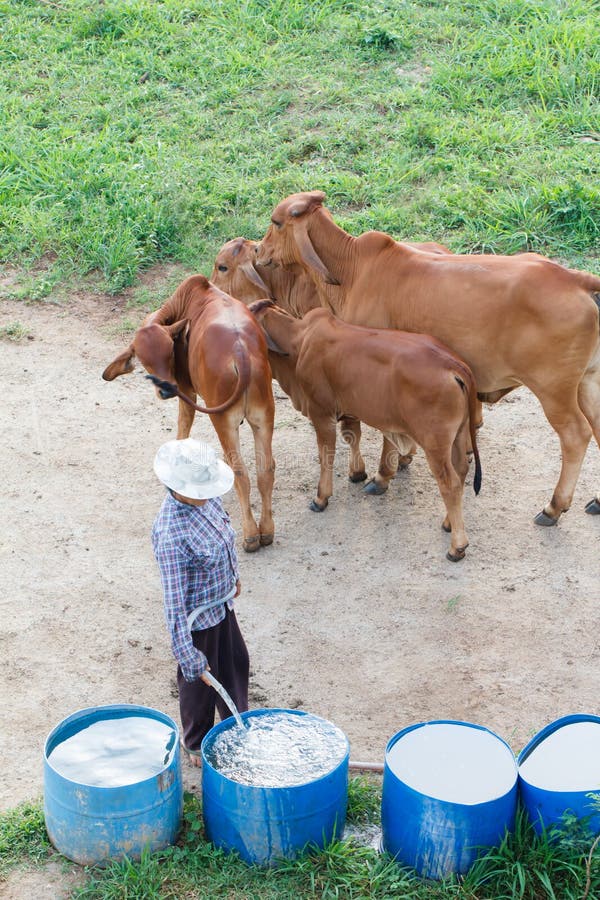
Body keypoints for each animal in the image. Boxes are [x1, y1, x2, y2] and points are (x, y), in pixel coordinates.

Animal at [102, 274, 276, 552]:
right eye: (145, 360)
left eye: (169, 354)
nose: (166, 390)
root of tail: (242, 354)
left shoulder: (186, 391)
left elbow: (182, 428)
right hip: (263, 415)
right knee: (265, 469)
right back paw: (266, 531)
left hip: (222, 418)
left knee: (241, 472)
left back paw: (250, 535)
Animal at [249, 300, 482, 561]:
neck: (299, 340)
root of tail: (454, 365)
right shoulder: (348, 411)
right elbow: (352, 436)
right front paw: (357, 474)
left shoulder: (321, 413)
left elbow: (325, 456)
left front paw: (321, 498)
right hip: (458, 436)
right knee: (461, 471)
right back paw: (449, 523)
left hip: (435, 444)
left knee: (450, 484)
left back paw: (457, 546)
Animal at [256, 190, 600, 525]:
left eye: (276, 222)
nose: (259, 250)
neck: (351, 269)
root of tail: (574, 278)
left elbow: (384, 429)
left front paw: (382, 475)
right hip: (588, 381)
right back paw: (595, 501)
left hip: (553, 390)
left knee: (576, 435)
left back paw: (553, 507)